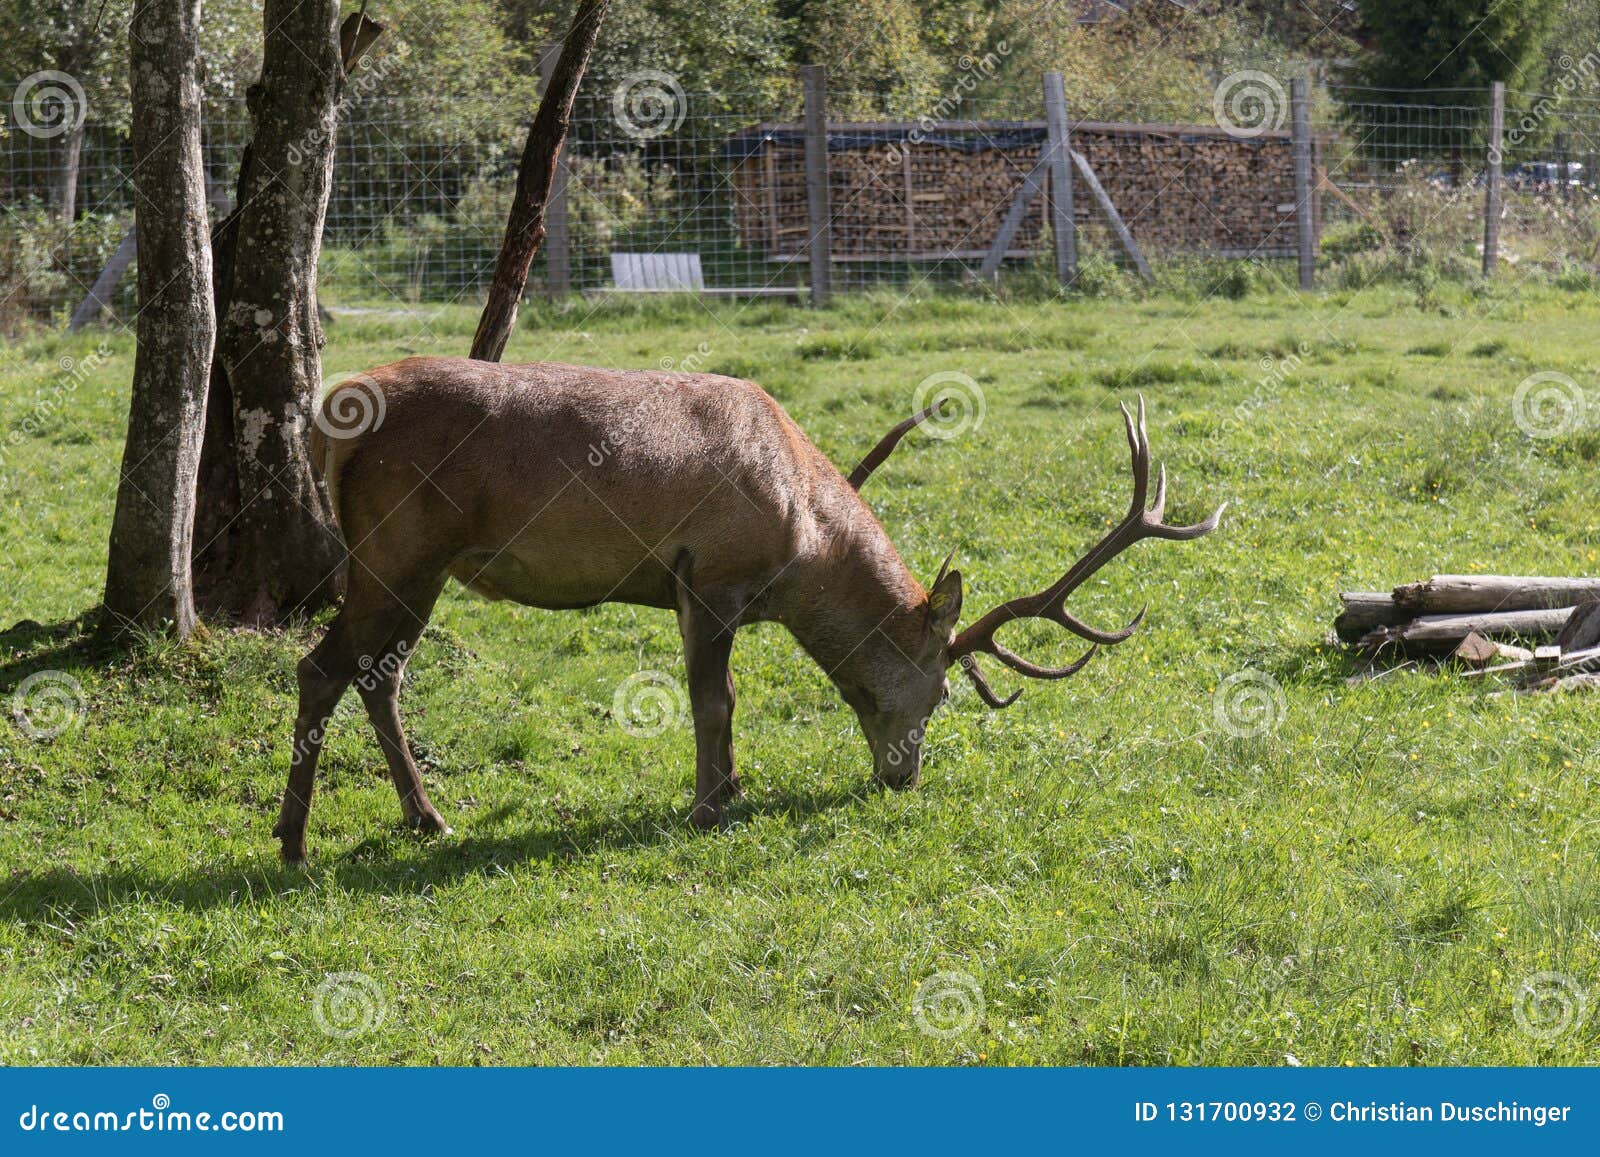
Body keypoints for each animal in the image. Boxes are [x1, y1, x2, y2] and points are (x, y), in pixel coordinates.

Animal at [274, 356, 1223, 863]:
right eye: (941, 690)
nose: (903, 776)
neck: (800, 538)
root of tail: (330, 418)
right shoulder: (709, 574)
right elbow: (713, 698)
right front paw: (707, 804)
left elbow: (723, 704)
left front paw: (727, 785)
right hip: (398, 551)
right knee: (321, 666)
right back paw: (293, 837)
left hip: (413, 569)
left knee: (378, 675)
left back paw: (424, 815)